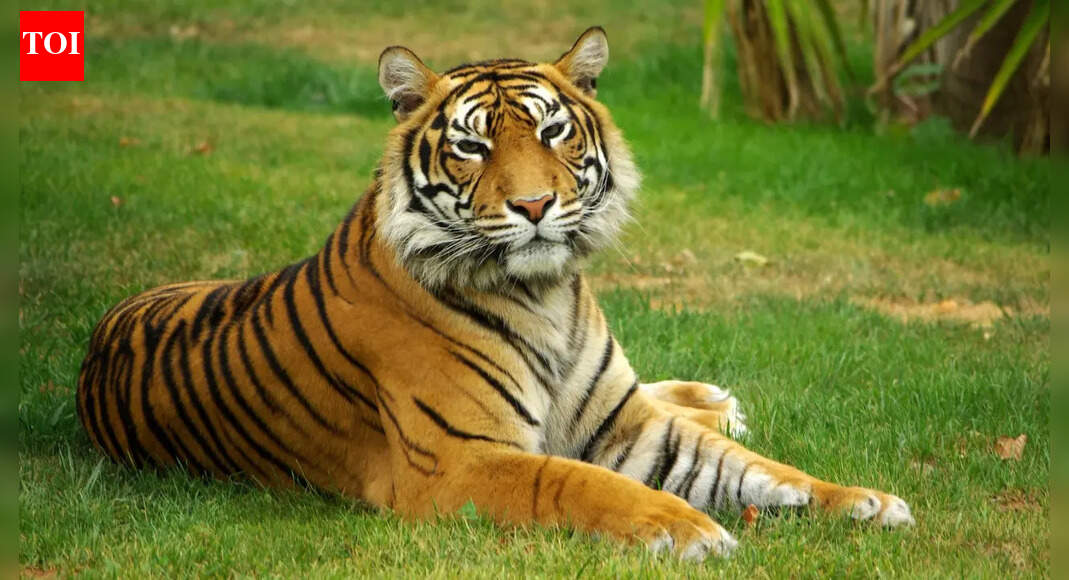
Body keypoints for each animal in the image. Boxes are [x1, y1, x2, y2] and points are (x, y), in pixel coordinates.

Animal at [76, 27, 913, 560]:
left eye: (551, 134)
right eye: (472, 145)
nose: (535, 205)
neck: (546, 295)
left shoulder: (629, 424)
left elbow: (758, 470)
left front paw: (861, 501)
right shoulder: (461, 461)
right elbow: (575, 481)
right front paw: (689, 530)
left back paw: (714, 399)